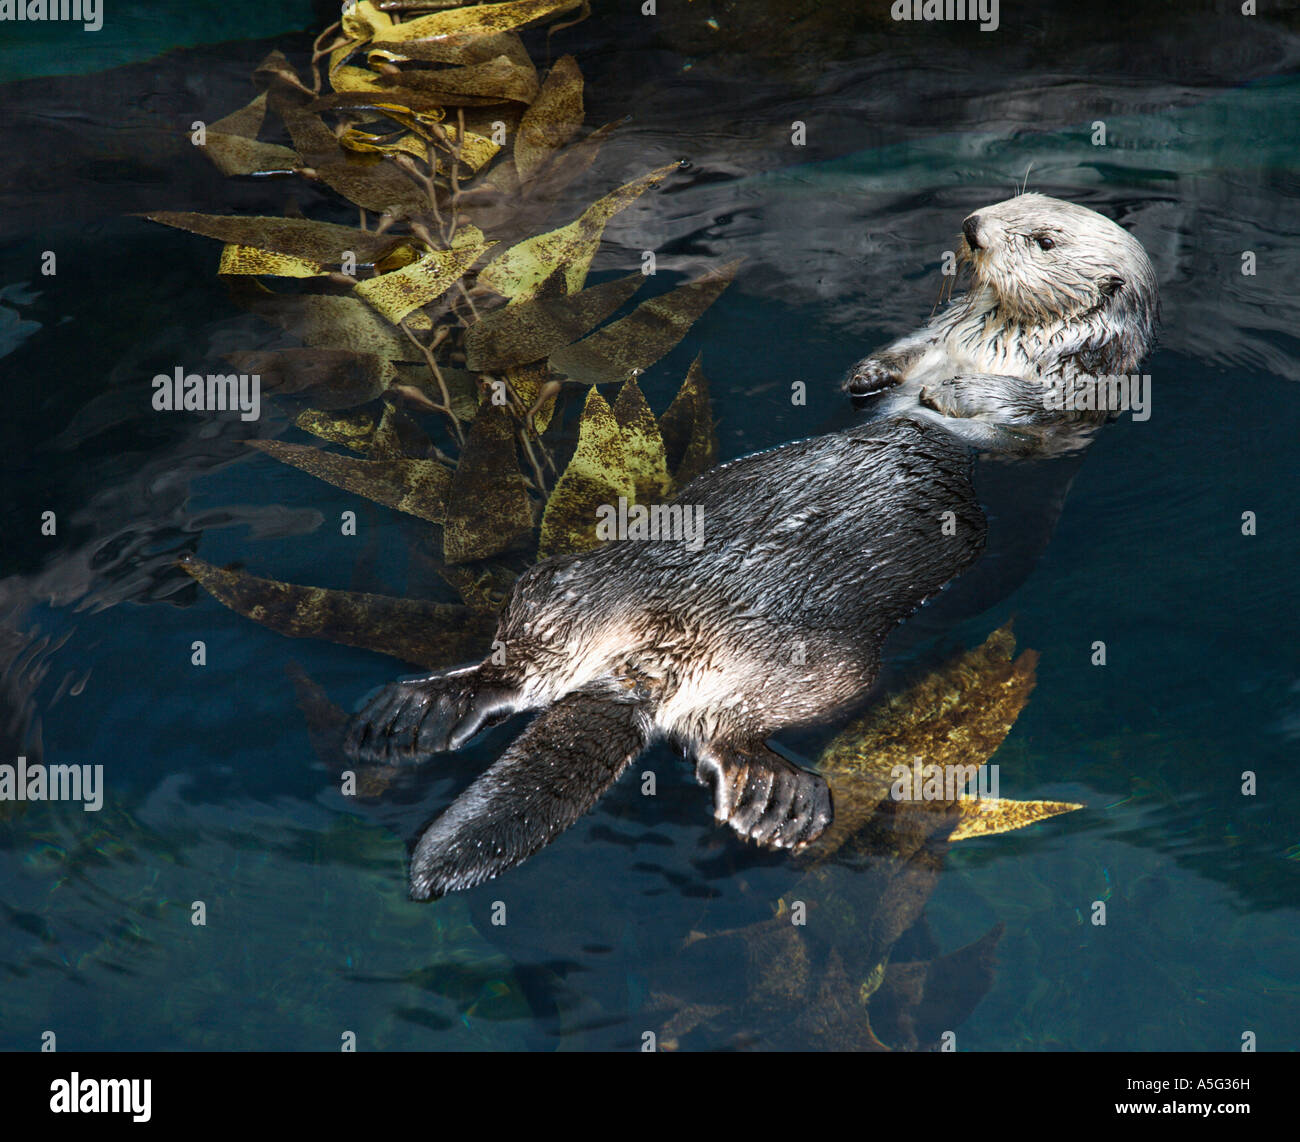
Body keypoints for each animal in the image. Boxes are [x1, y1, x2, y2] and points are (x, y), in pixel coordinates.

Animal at [345, 193, 1158, 900]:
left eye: (1043, 239)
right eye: (1010, 204)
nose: (973, 228)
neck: (991, 341)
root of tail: (654, 649)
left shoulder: (1079, 397)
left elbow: (1025, 411)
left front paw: (954, 397)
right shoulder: (931, 340)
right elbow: (893, 363)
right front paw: (873, 372)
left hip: (828, 672)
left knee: (712, 731)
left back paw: (775, 799)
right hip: (574, 579)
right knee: (519, 668)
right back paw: (410, 715)